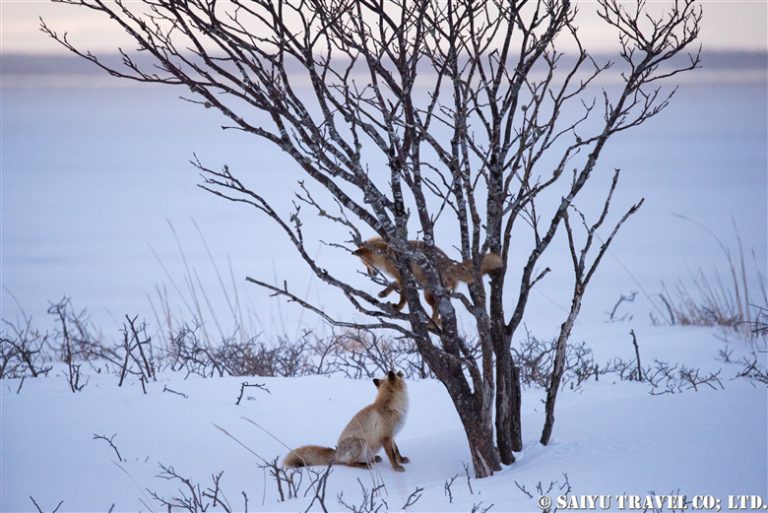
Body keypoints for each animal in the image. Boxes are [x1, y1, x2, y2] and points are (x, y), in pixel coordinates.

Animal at [352, 237, 503, 324]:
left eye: (365, 264)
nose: (370, 275)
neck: (386, 255)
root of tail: (451, 265)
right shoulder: (407, 279)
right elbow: (394, 285)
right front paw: (384, 292)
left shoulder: (404, 277)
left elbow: (402, 295)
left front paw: (398, 307)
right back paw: (439, 322)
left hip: (428, 294)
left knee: (437, 309)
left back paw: (433, 323)